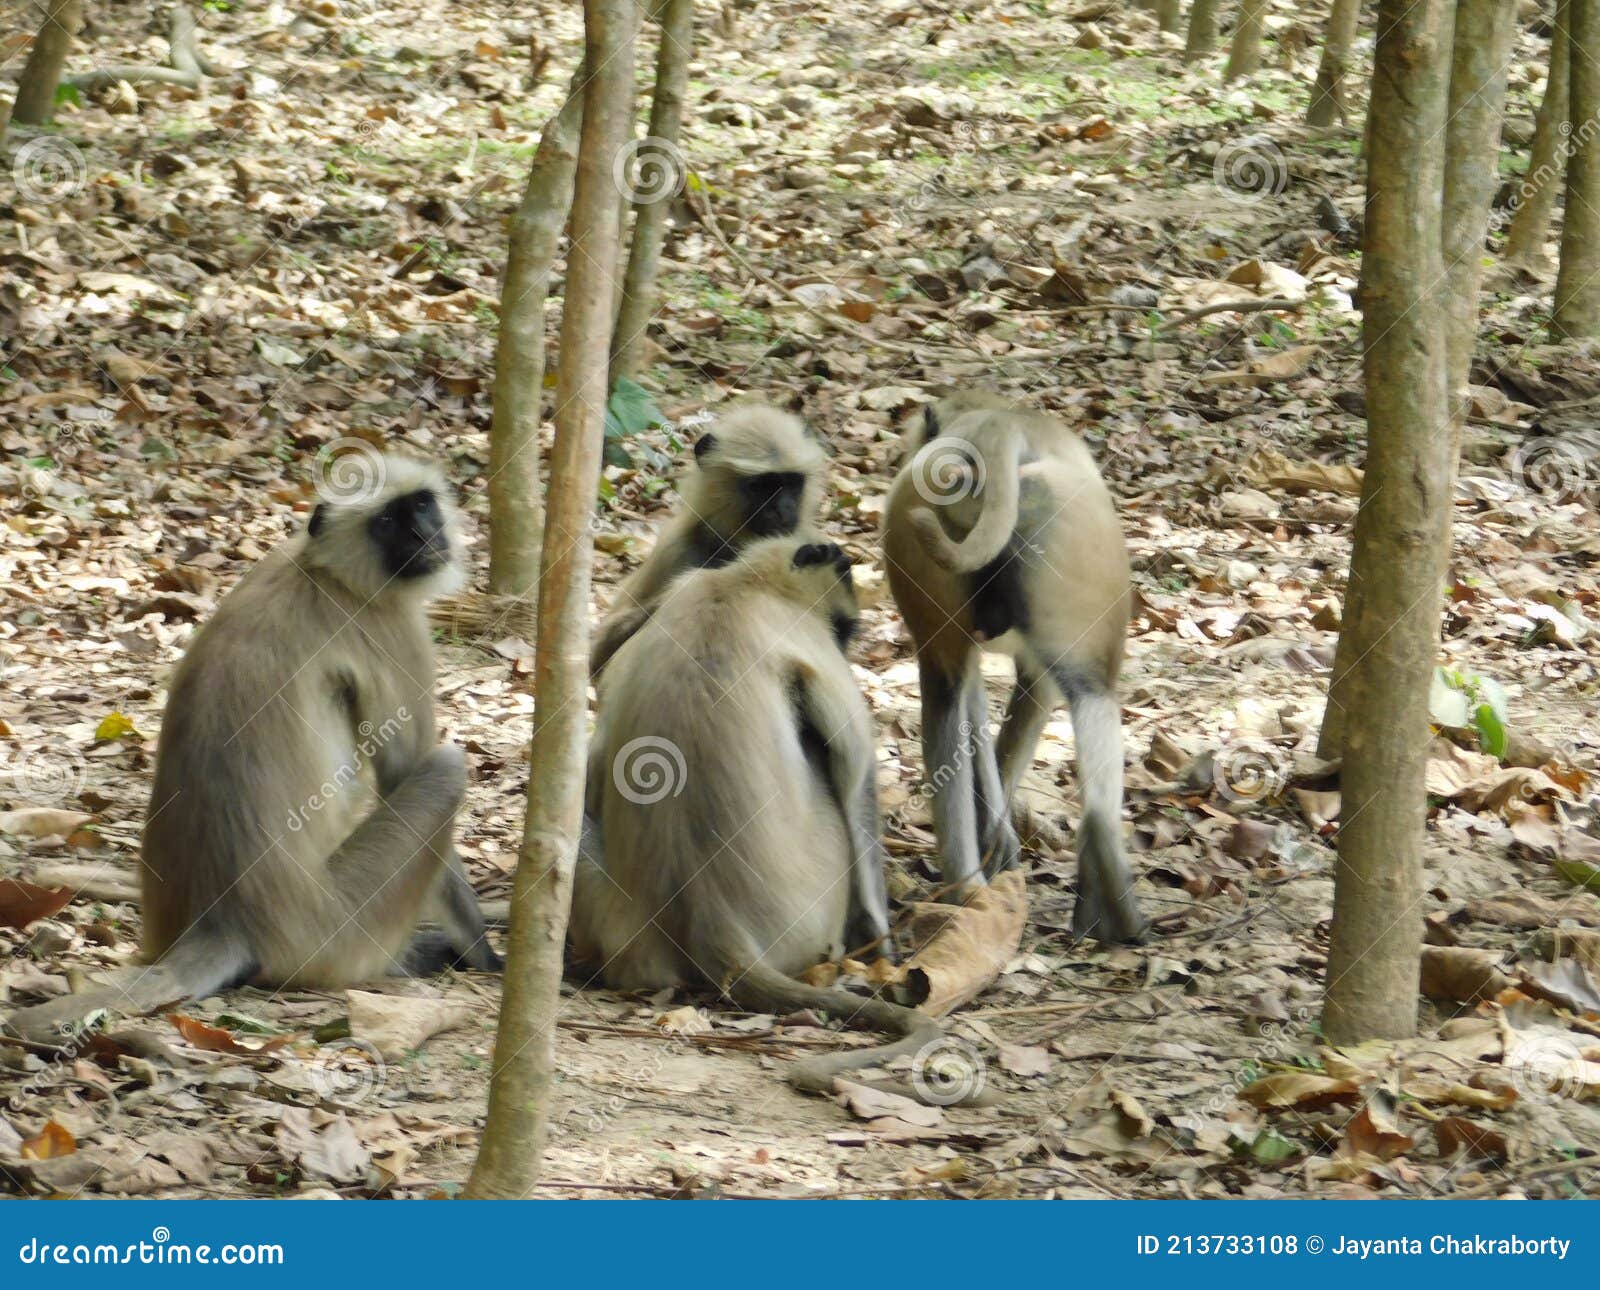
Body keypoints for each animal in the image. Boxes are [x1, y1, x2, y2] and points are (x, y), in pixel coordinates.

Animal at [6, 455, 500, 1040]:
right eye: (387, 523)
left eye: (420, 506)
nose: (426, 536)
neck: (320, 570)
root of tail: (225, 922)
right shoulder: (392, 627)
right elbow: (405, 773)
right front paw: (492, 958)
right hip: (338, 928)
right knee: (446, 767)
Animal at [570, 536, 940, 1092]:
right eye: (842, 628)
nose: (849, 640)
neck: (740, 584)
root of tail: (717, 925)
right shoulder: (810, 639)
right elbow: (858, 781)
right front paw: (885, 946)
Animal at [882, 391, 1148, 944]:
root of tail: (998, 427)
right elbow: (1037, 692)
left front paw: (998, 831)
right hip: (1064, 523)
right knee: (1092, 693)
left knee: (946, 688)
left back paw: (966, 889)